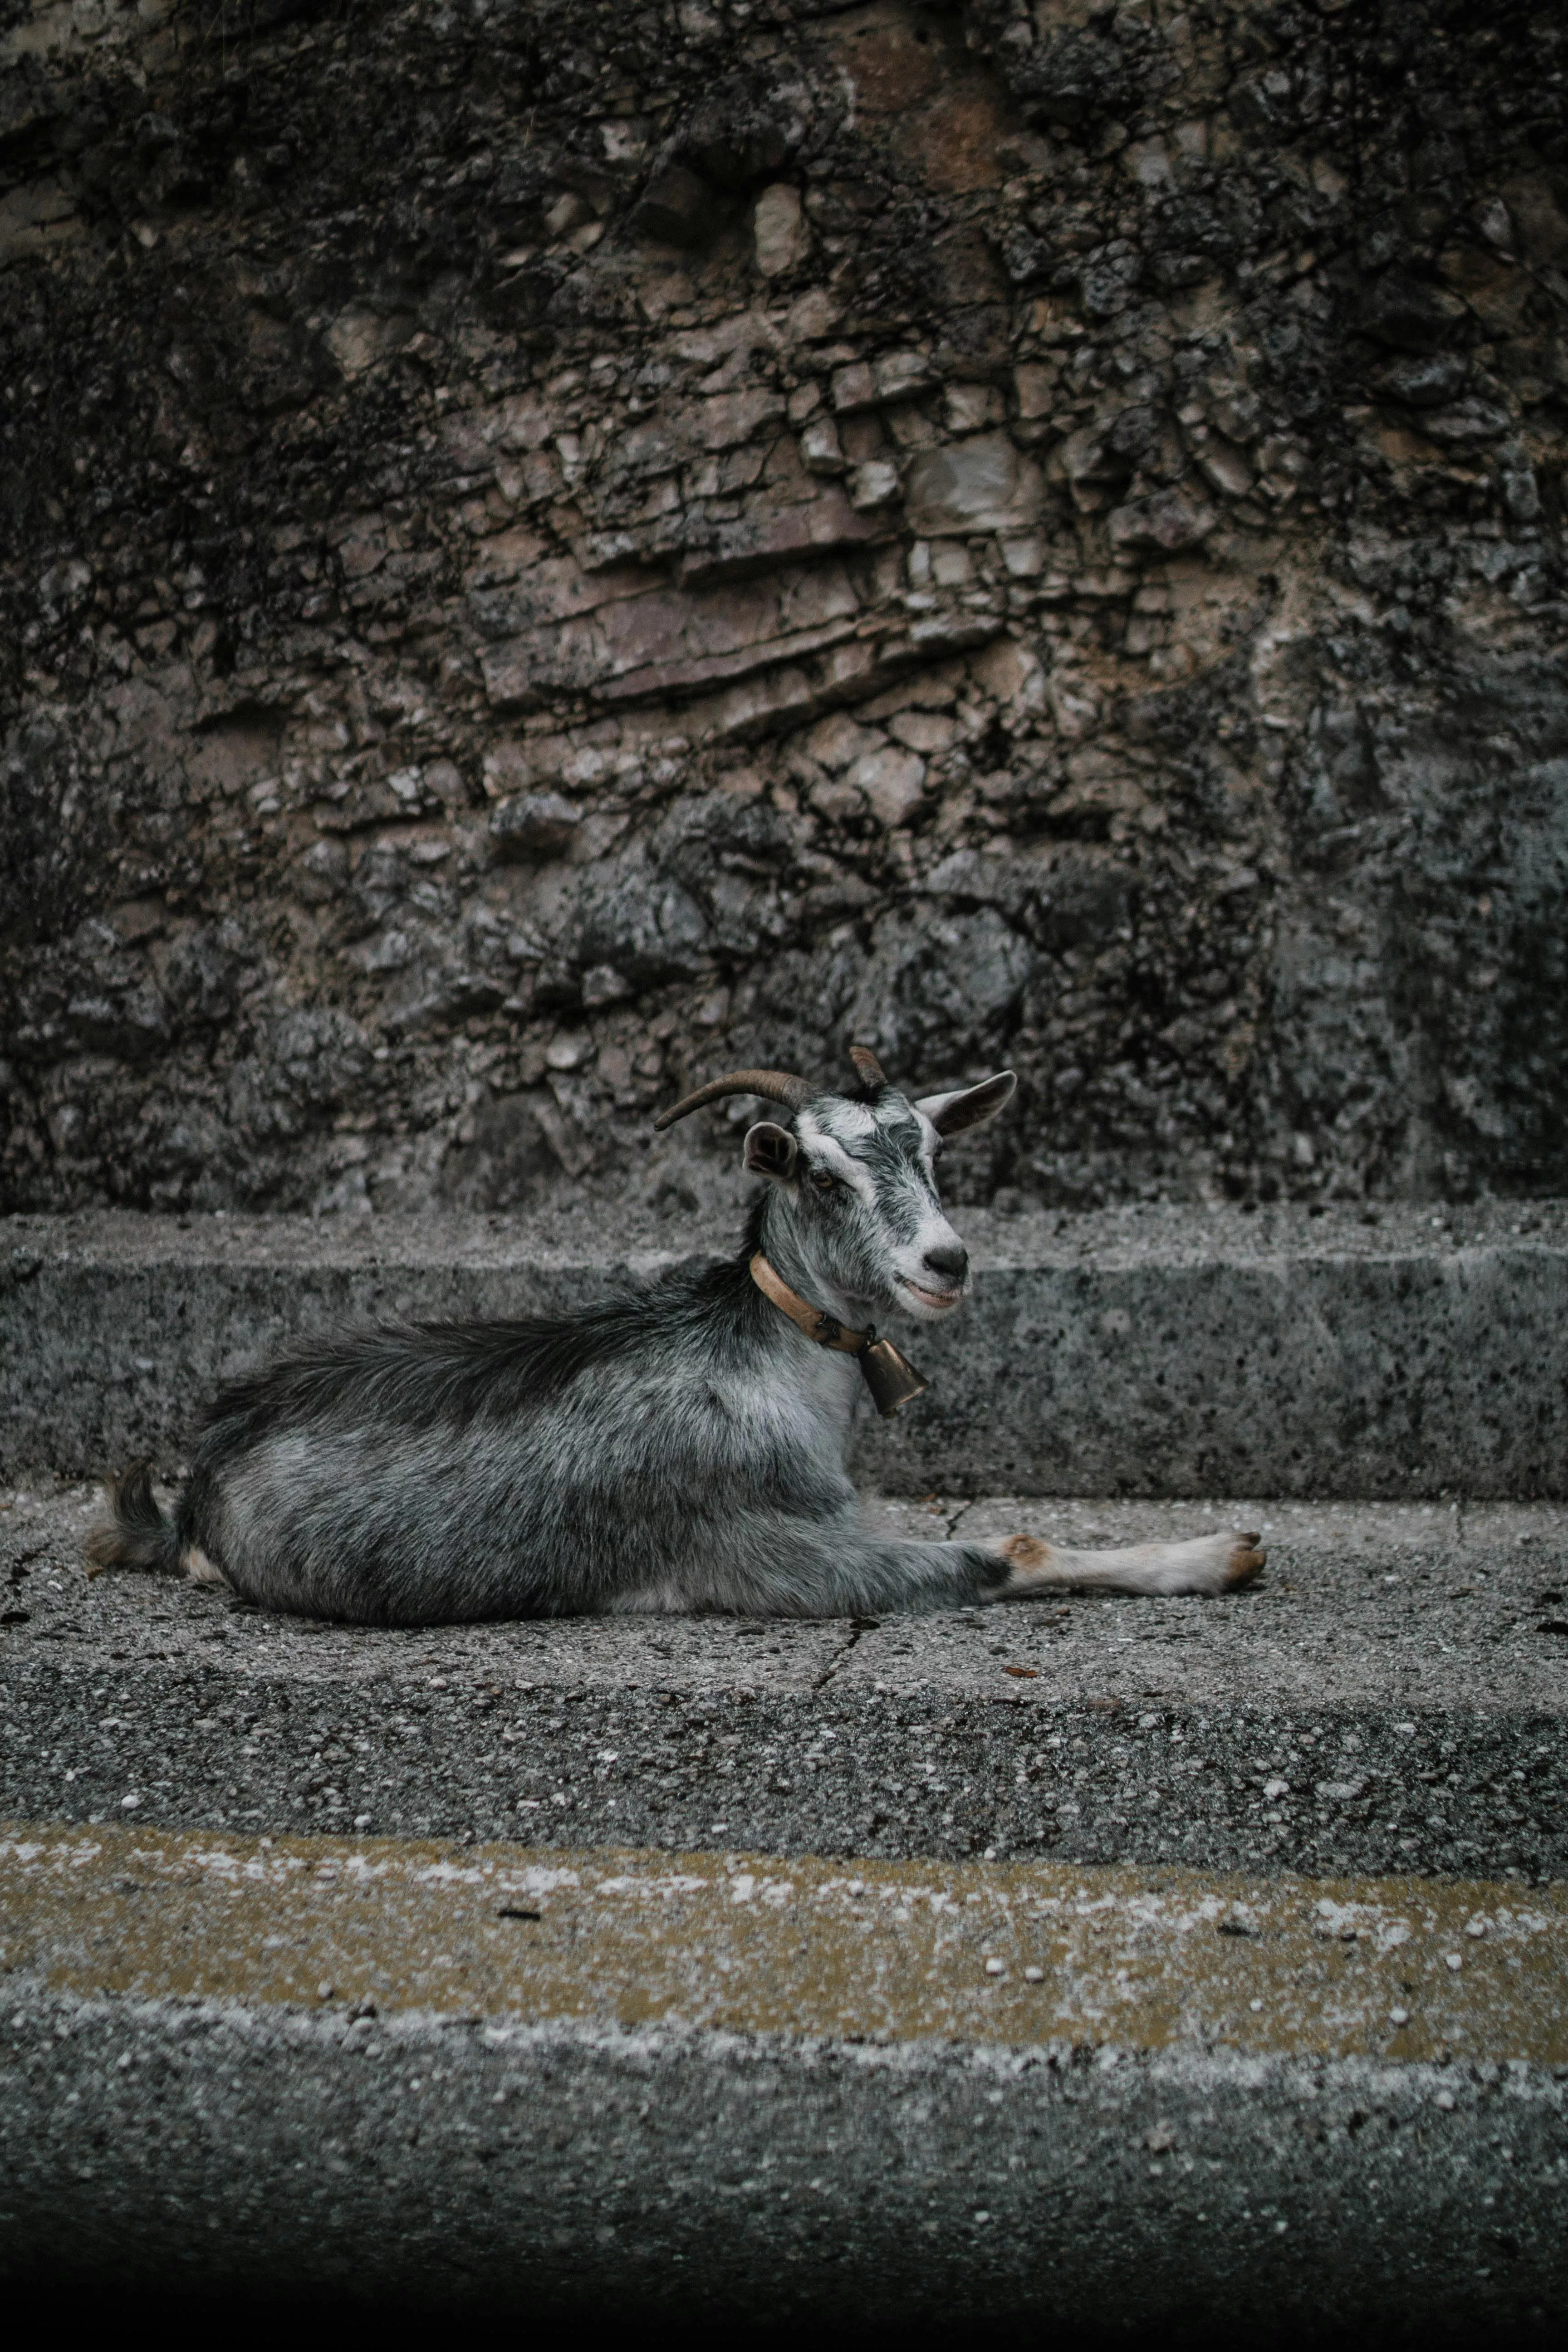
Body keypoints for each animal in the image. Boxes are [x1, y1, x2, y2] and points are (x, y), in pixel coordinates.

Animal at [87, 1048, 1264, 1623]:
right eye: (820, 1173)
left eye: (931, 1152)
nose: (945, 1262)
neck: (770, 1360)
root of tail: (197, 1484)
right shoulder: (769, 1554)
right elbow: (1008, 1551)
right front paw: (1219, 1553)